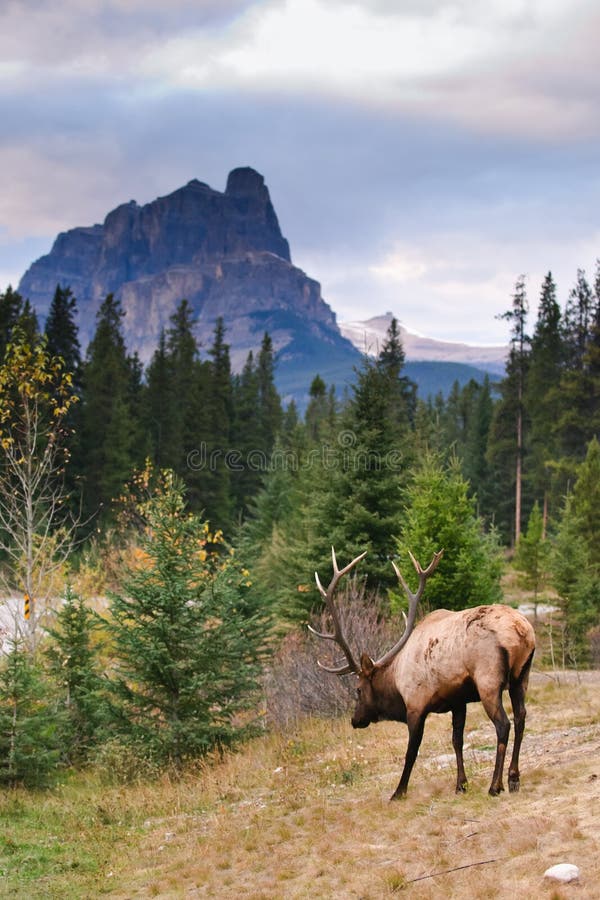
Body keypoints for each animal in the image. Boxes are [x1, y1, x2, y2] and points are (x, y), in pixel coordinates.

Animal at [309, 548, 535, 799]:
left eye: (358, 689)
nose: (355, 719)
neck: (396, 683)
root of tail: (520, 630)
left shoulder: (416, 705)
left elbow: (412, 752)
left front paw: (398, 792)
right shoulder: (458, 701)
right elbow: (457, 741)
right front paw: (461, 785)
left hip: (488, 680)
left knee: (503, 724)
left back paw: (495, 785)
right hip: (521, 677)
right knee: (521, 717)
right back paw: (513, 779)